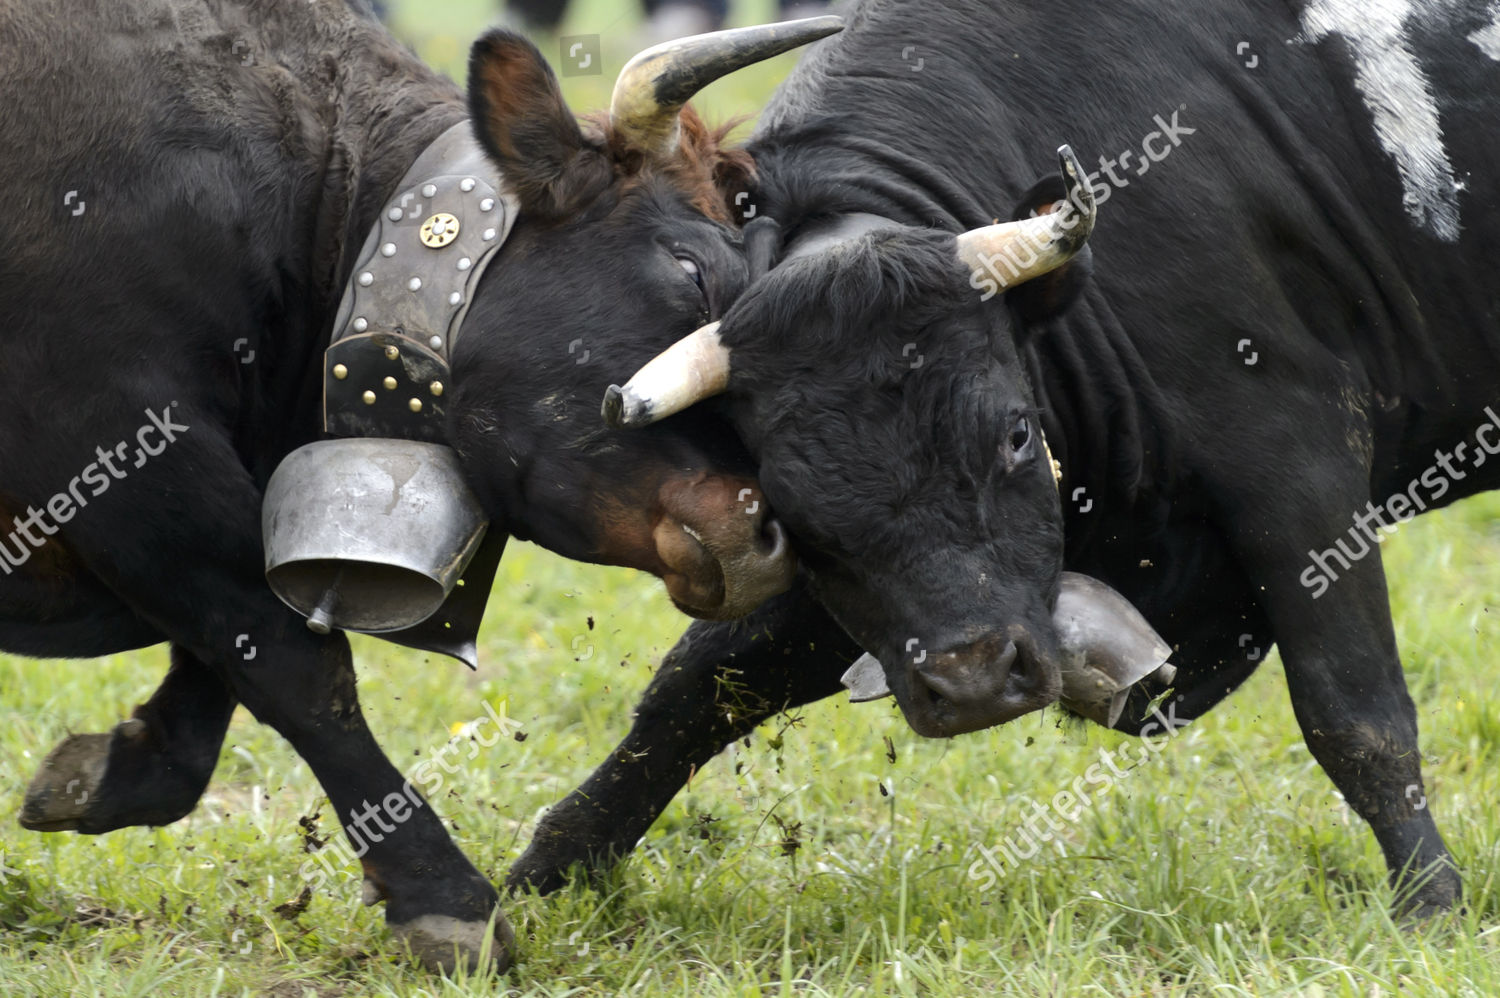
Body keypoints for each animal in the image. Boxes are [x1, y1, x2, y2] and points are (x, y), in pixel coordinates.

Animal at [0, 0, 841, 971]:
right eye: (693, 270)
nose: (766, 533)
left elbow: (226, 658)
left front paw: (119, 768)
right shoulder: (118, 438)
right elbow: (293, 662)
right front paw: (446, 899)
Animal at [507, 0, 1500, 928]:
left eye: (1016, 434)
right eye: (786, 497)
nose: (976, 678)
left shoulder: (1295, 465)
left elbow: (1354, 709)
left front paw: (1429, 901)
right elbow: (695, 690)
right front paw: (535, 879)